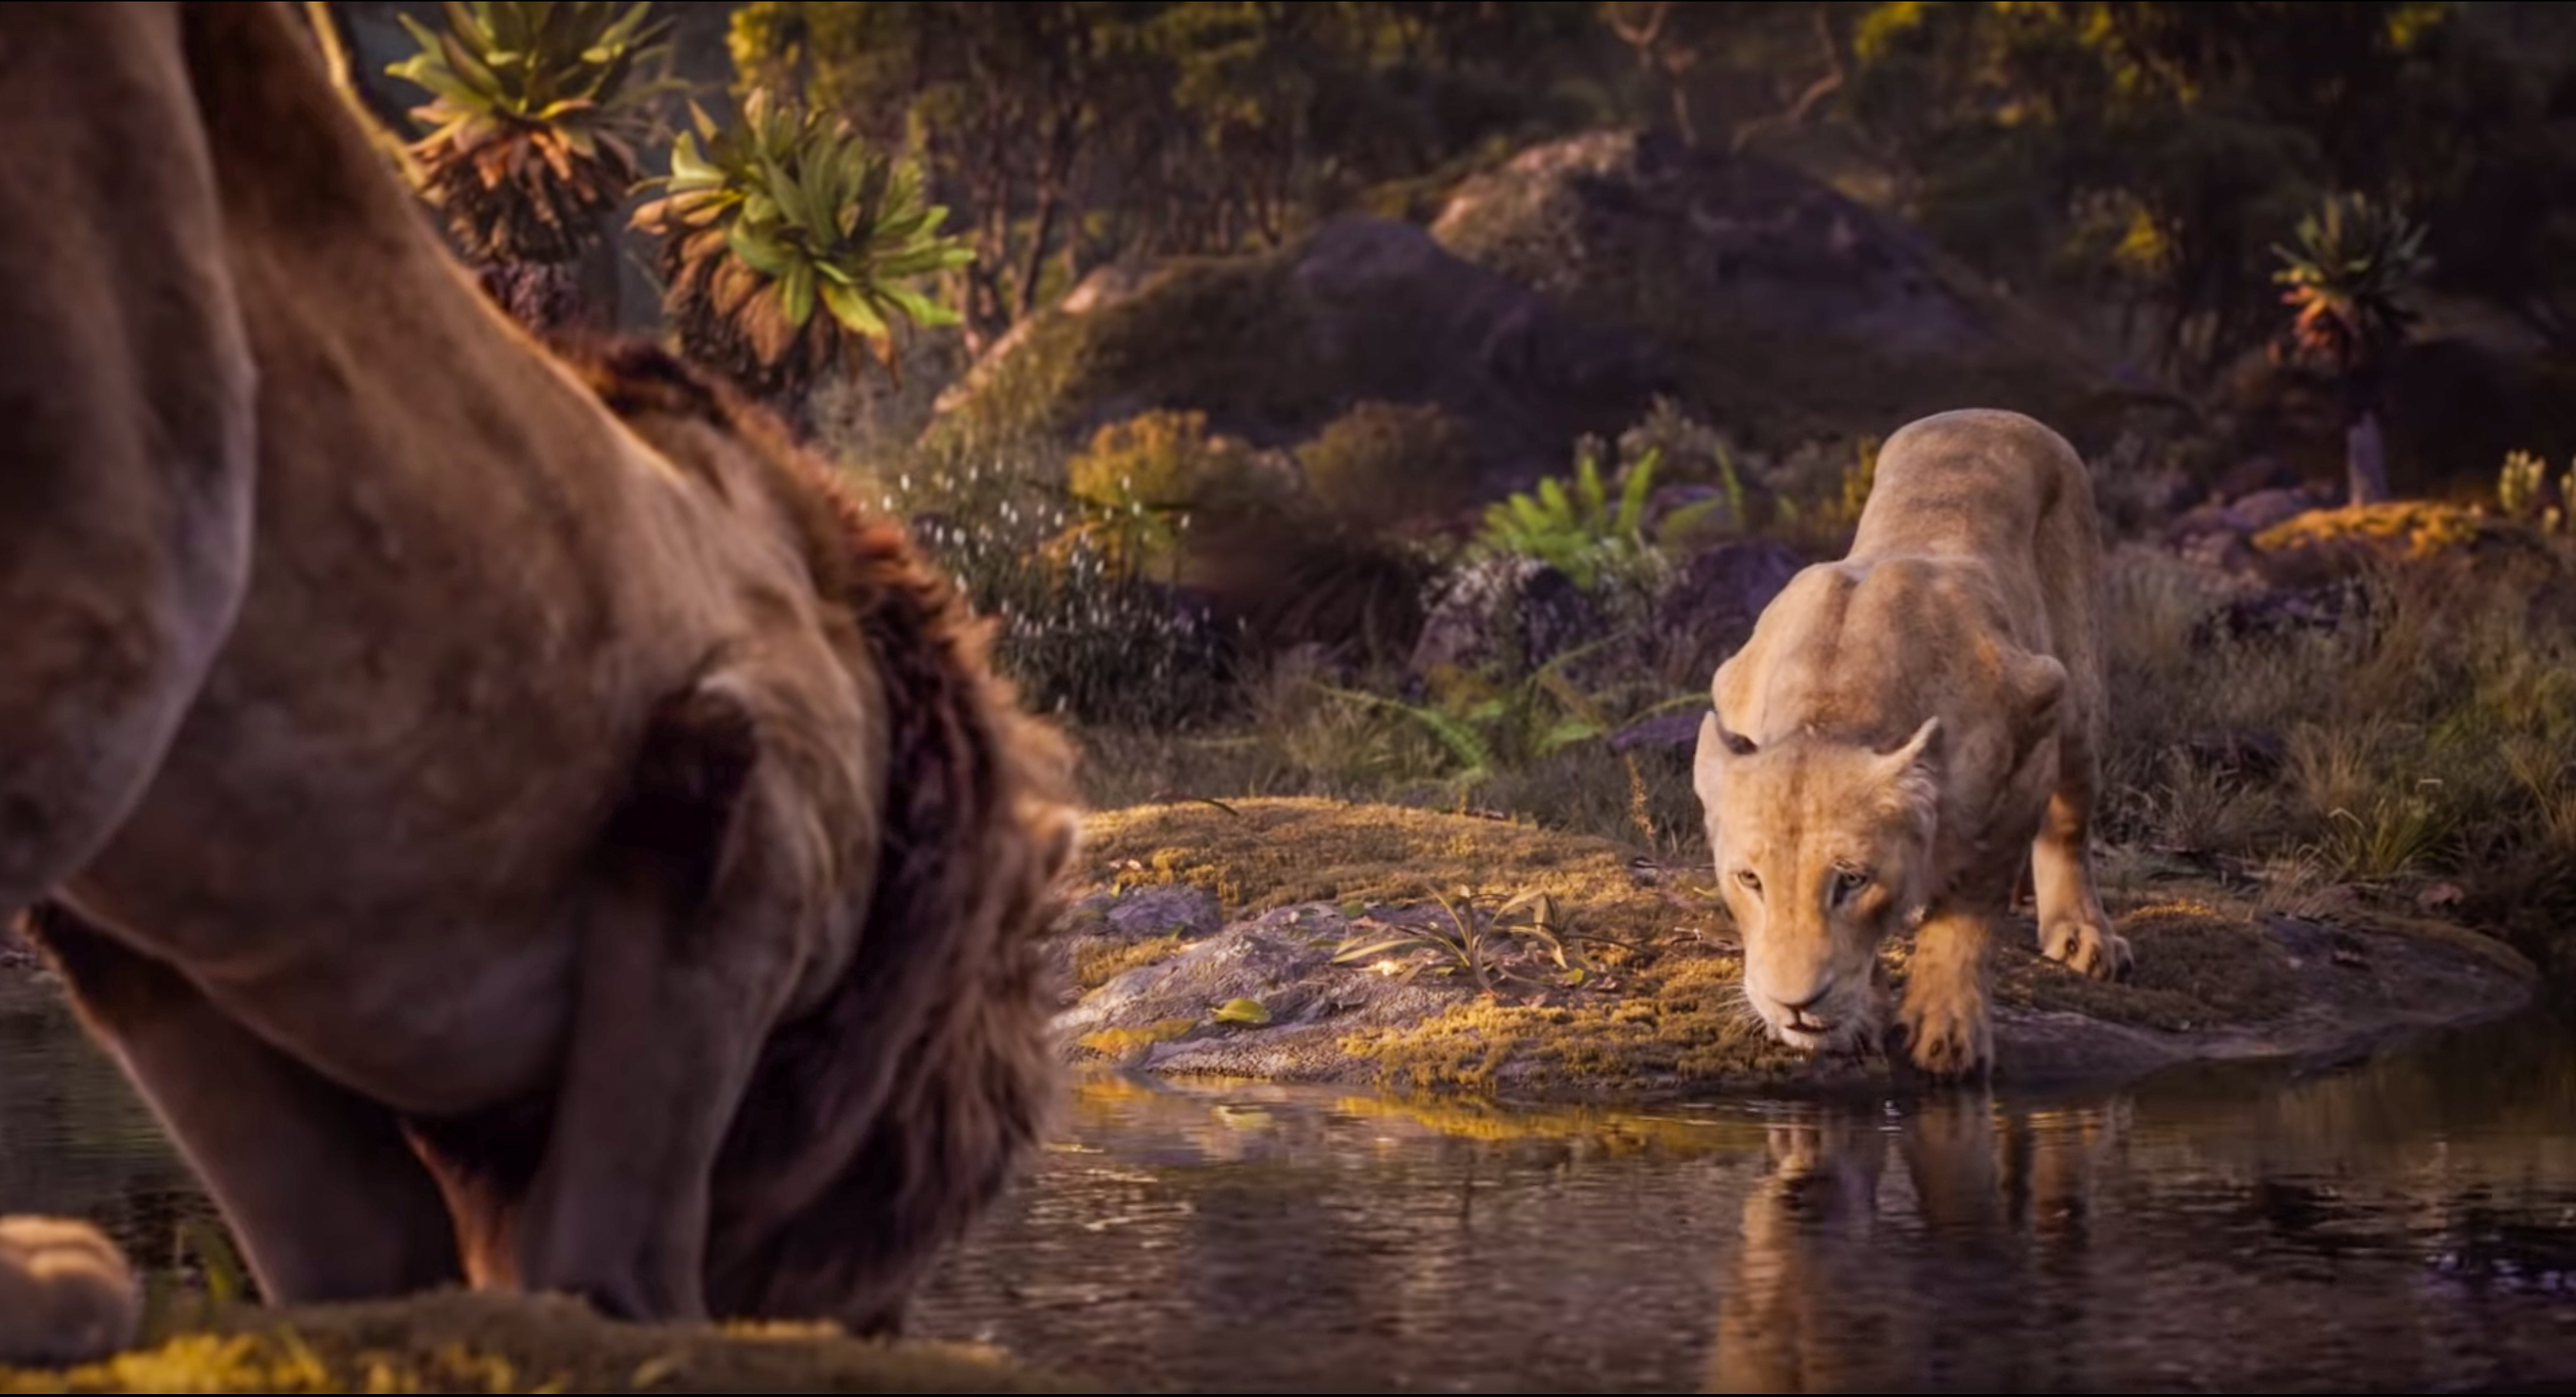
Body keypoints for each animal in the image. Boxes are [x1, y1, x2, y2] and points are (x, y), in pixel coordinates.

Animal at [0, 0, 1079, 1349]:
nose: (891, 1315)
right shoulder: (745, 804)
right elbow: (622, 1207)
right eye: (1003, 1112)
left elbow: (339, 1225)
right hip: (139, 510)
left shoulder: (171, 963)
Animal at [1692, 408, 2131, 1081]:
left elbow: (1969, 908)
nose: (1795, 1005)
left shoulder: (2031, 715)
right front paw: (1860, 1016)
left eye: (1850, 881)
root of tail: (1990, 413)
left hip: (2081, 693)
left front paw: (1943, 1033)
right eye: (1750, 881)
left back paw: (2085, 936)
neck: (1830, 709)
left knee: (2071, 822)